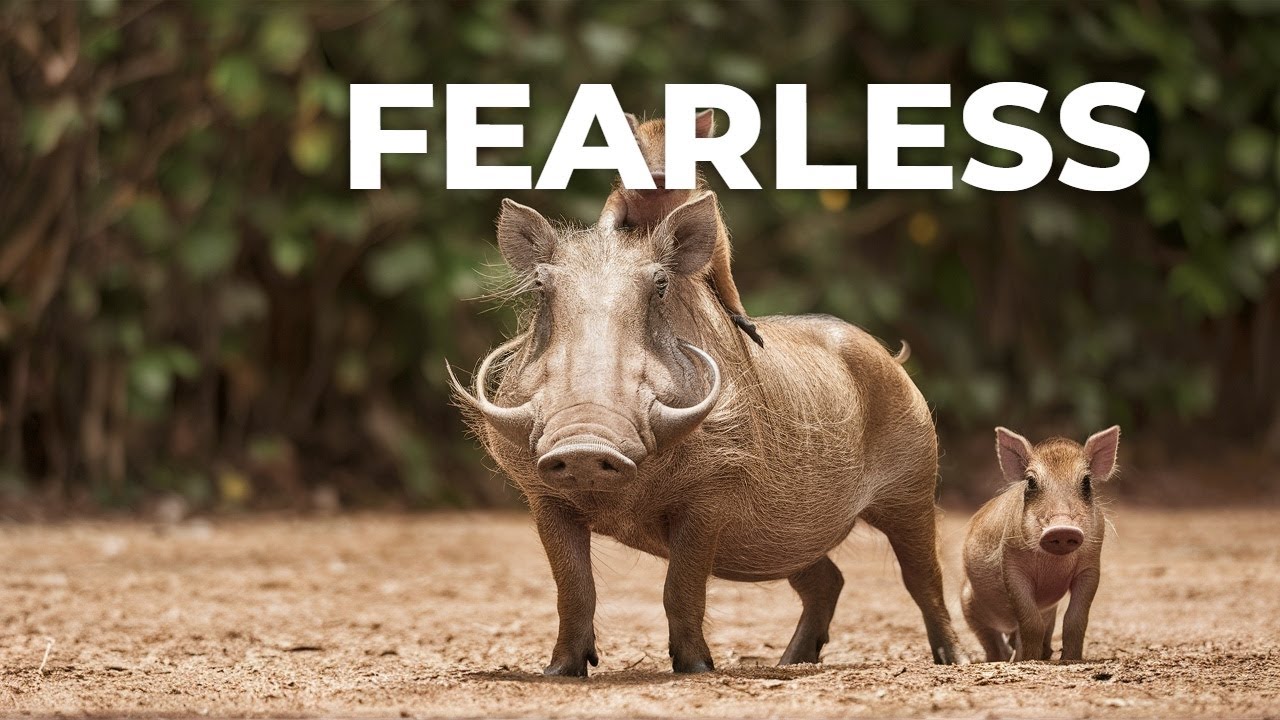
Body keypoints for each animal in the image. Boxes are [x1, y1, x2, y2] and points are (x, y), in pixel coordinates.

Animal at [449, 192, 964, 675]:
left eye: (659, 286)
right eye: (541, 287)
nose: (584, 446)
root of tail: (891, 358)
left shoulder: (708, 499)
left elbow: (681, 587)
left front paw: (696, 667)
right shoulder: (546, 500)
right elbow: (574, 590)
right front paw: (561, 671)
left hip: (910, 495)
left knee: (924, 578)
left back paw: (953, 660)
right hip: (787, 536)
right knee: (826, 581)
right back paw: (790, 663)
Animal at [598, 109, 763, 348]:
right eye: (636, 145)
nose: (657, 174)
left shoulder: (717, 231)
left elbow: (725, 277)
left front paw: (754, 333)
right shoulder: (617, 198)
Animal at [960, 426, 1120, 662]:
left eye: (1086, 482)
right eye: (1031, 482)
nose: (1061, 529)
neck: (1053, 564)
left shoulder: (1090, 569)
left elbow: (1075, 619)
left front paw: (1070, 659)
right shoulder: (1012, 569)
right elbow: (1030, 621)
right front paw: (1028, 660)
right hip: (968, 603)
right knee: (992, 641)